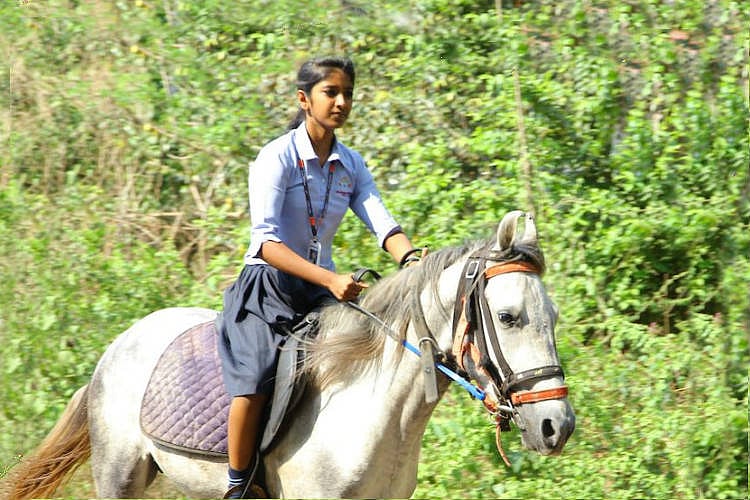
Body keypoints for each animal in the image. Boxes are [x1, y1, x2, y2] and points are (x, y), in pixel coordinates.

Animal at [7, 210, 575, 499]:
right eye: (508, 317)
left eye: (552, 317)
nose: (557, 426)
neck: (371, 411)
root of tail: (119, 346)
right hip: (119, 475)